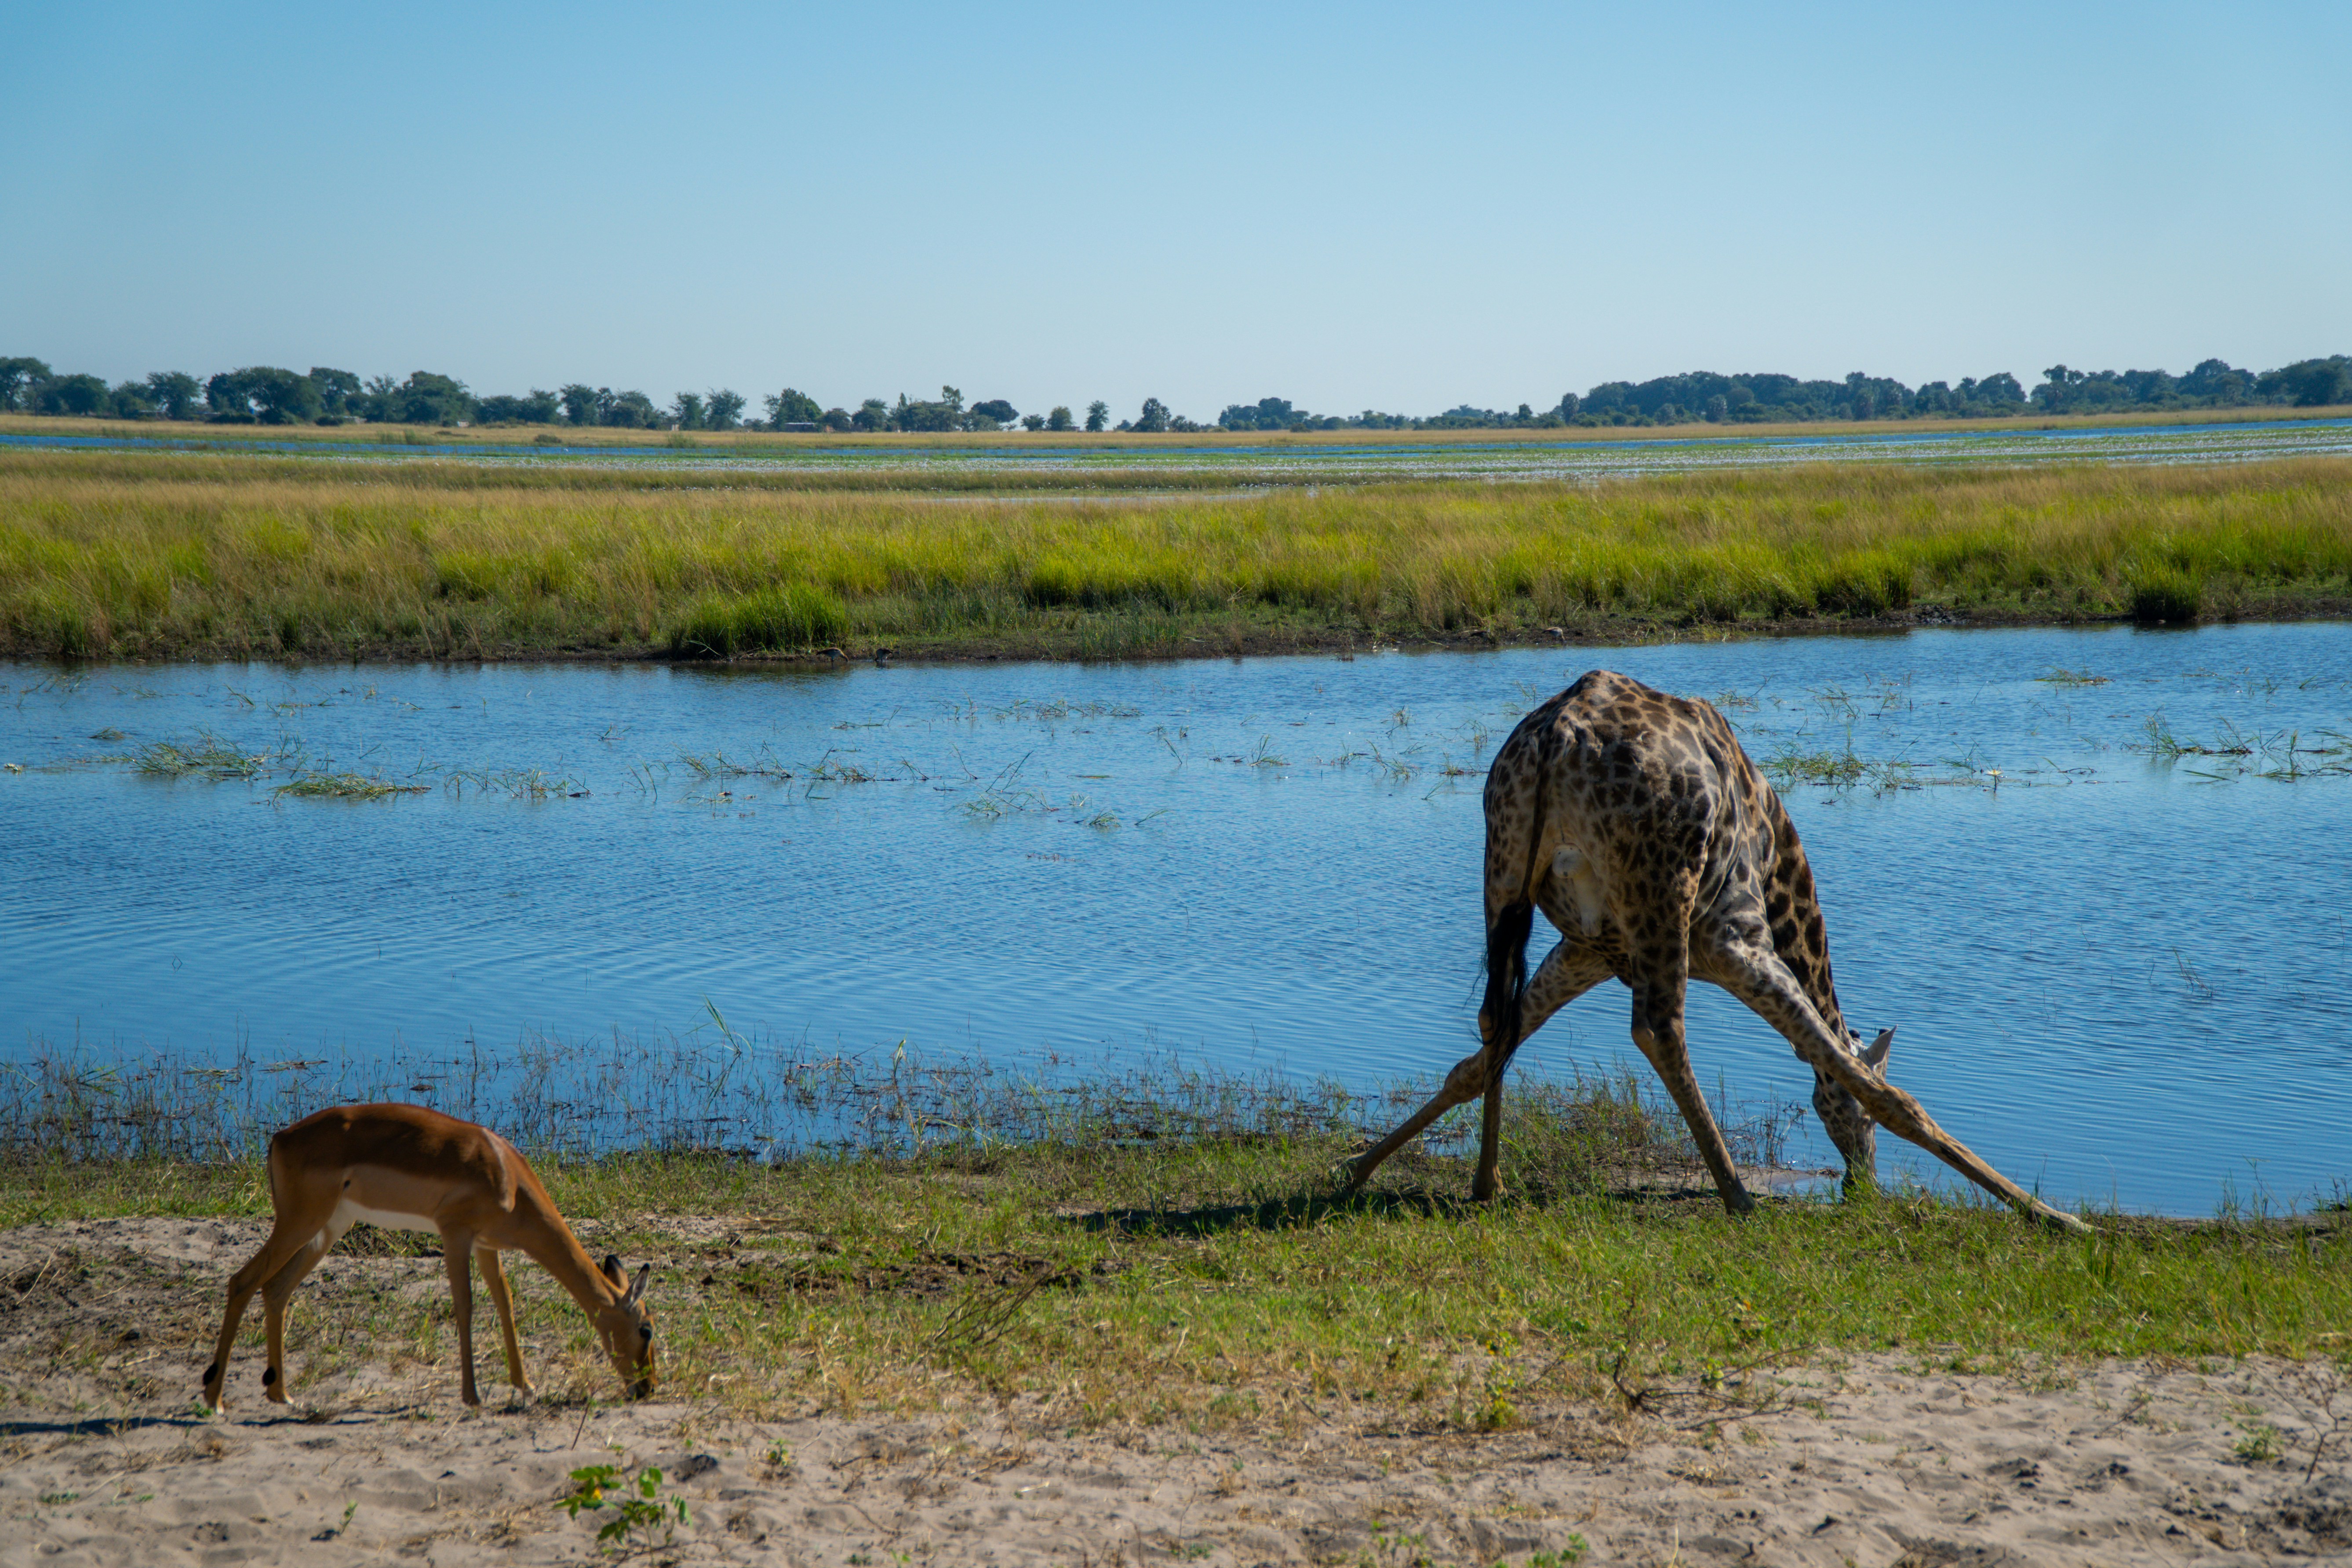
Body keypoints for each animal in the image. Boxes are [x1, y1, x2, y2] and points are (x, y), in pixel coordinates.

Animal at [1344, 669, 2088, 1234]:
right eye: (1836, 1117)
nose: (1860, 1183)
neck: (1784, 886)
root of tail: (1556, 736)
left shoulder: (1588, 947)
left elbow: (1474, 1062)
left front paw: (1360, 1166)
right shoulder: (1735, 938)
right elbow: (1880, 1088)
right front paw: (2058, 1217)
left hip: (1504, 878)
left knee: (1493, 1022)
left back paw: (1485, 1179)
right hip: (1663, 890)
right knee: (1659, 1027)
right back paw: (1736, 1191)